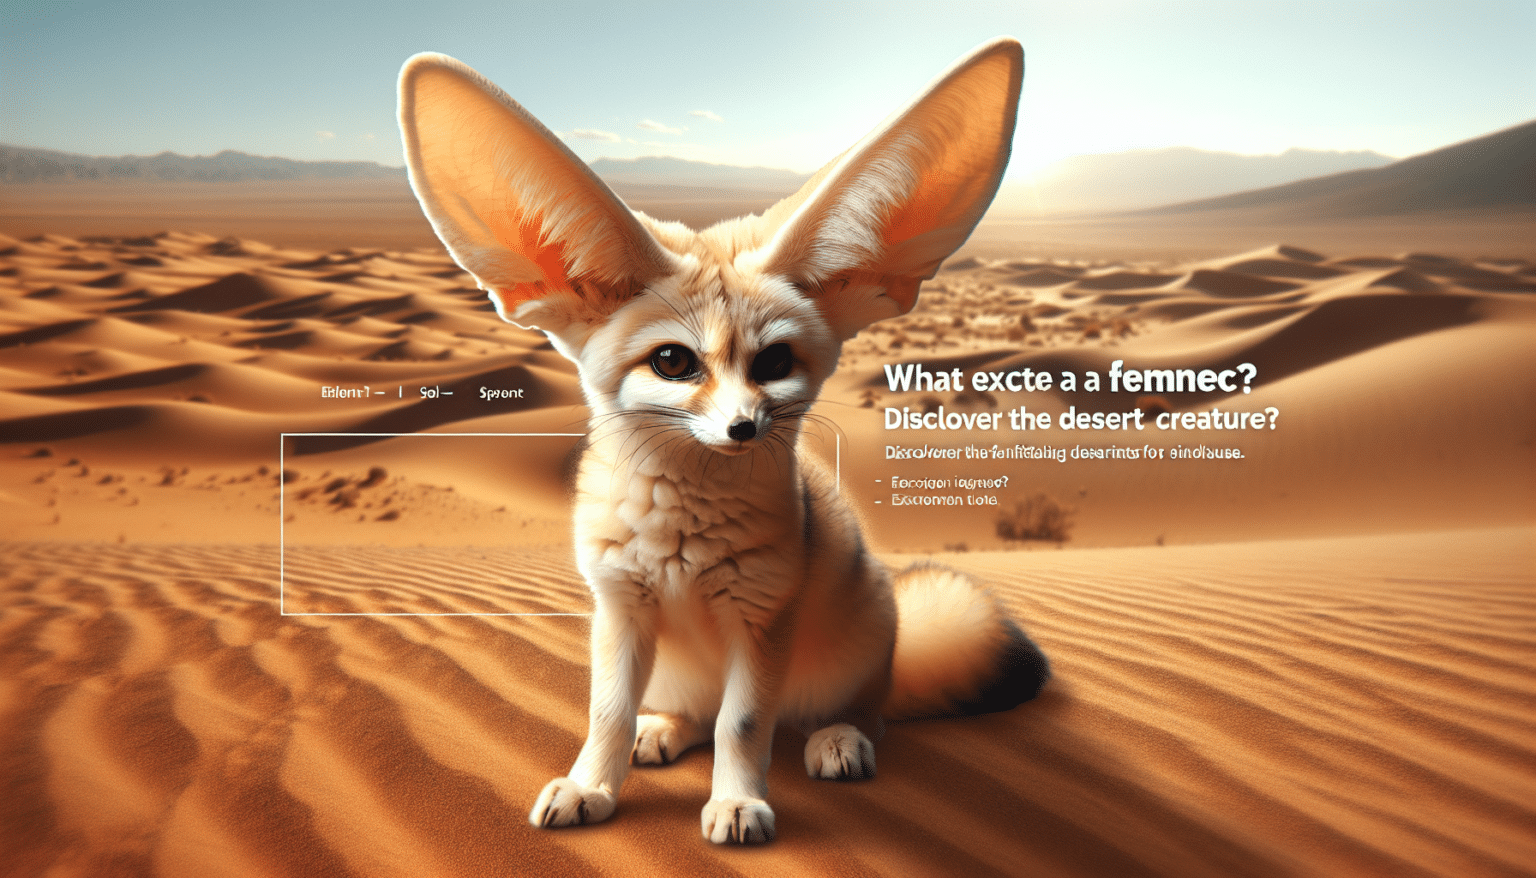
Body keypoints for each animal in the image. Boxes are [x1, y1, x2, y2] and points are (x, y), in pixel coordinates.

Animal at [397, 37, 1048, 844]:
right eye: (674, 362)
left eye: (774, 363)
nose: (743, 427)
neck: (683, 536)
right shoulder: (620, 606)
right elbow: (606, 713)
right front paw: (591, 786)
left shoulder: (761, 619)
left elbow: (742, 725)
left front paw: (738, 802)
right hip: (680, 665)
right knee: (693, 713)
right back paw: (663, 729)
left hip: (861, 639)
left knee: (854, 713)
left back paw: (839, 739)